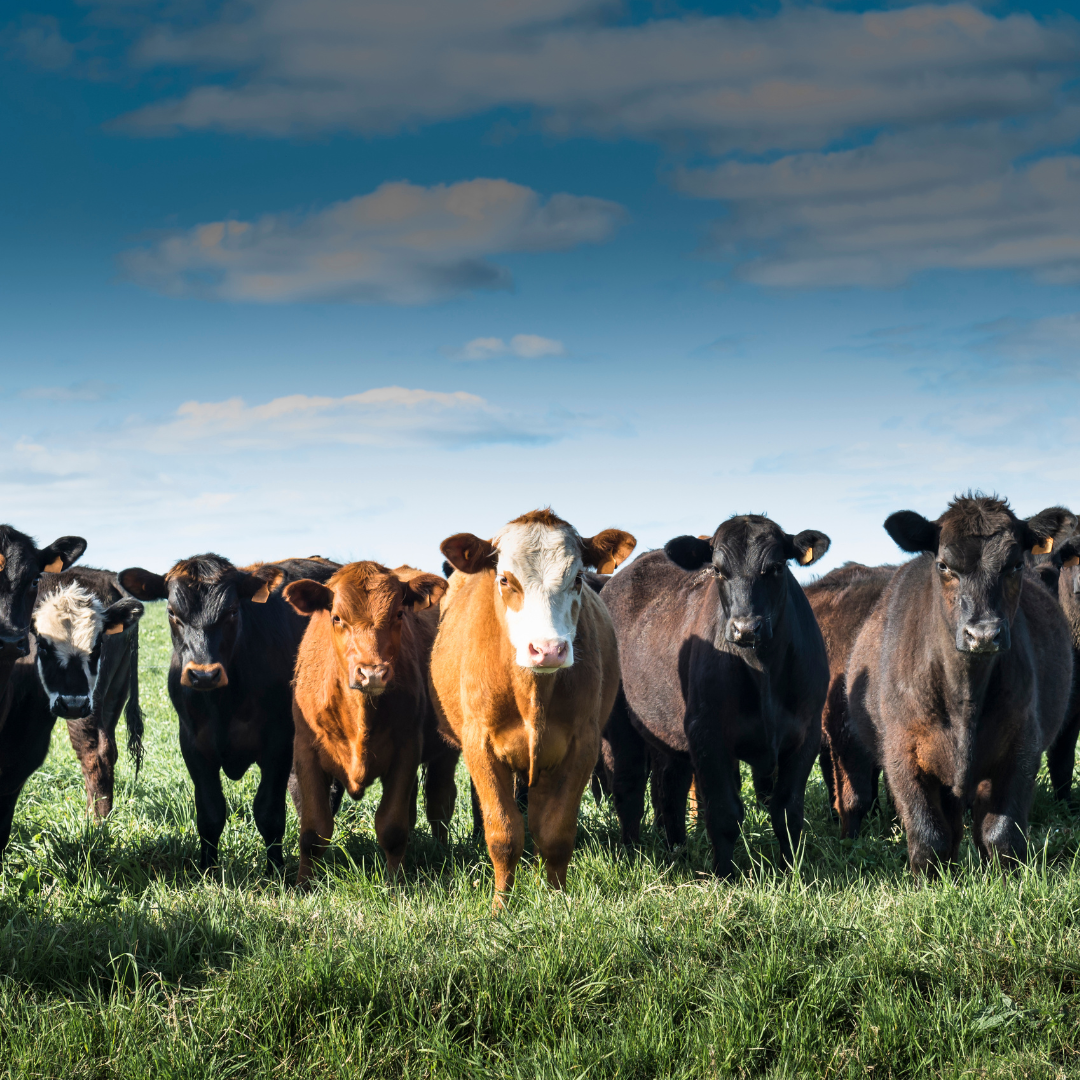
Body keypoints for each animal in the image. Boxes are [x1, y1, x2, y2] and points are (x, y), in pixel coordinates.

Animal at [119, 554, 339, 872]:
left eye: (232, 611)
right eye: (172, 612)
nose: (204, 675)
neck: (223, 703)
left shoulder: (278, 743)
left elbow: (269, 812)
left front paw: (275, 870)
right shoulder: (194, 745)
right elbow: (210, 812)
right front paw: (207, 870)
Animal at [284, 561, 455, 885]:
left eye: (399, 614)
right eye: (337, 617)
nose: (372, 673)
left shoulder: (406, 750)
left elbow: (392, 828)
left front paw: (395, 884)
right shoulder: (305, 751)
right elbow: (313, 832)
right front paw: (303, 885)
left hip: (446, 753)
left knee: (439, 804)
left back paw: (443, 853)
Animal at [429, 509, 635, 909]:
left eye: (578, 579)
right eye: (505, 579)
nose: (548, 649)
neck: (531, 694)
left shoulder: (580, 747)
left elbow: (554, 832)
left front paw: (556, 900)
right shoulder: (479, 746)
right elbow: (503, 833)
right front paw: (500, 906)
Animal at [602, 515, 830, 877]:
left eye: (776, 567)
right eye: (719, 570)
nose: (746, 628)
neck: (762, 669)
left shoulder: (806, 733)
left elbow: (788, 811)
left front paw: (790, 871)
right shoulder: (707, 731)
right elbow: (724, 813)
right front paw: (725, 875)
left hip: (667, 731)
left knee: (670, 788)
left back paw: (677, 849)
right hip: (619, 723)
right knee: (629, 785)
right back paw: (632, 853)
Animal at [844, 496, 1075, 874]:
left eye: (1015, 565)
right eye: (943, 565)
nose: (983, 634)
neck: (964, 697)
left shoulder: (1022, 747)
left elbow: (1001, 833)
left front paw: (1006, 879)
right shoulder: (901, 753)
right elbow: (928, 835)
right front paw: (931, 882)